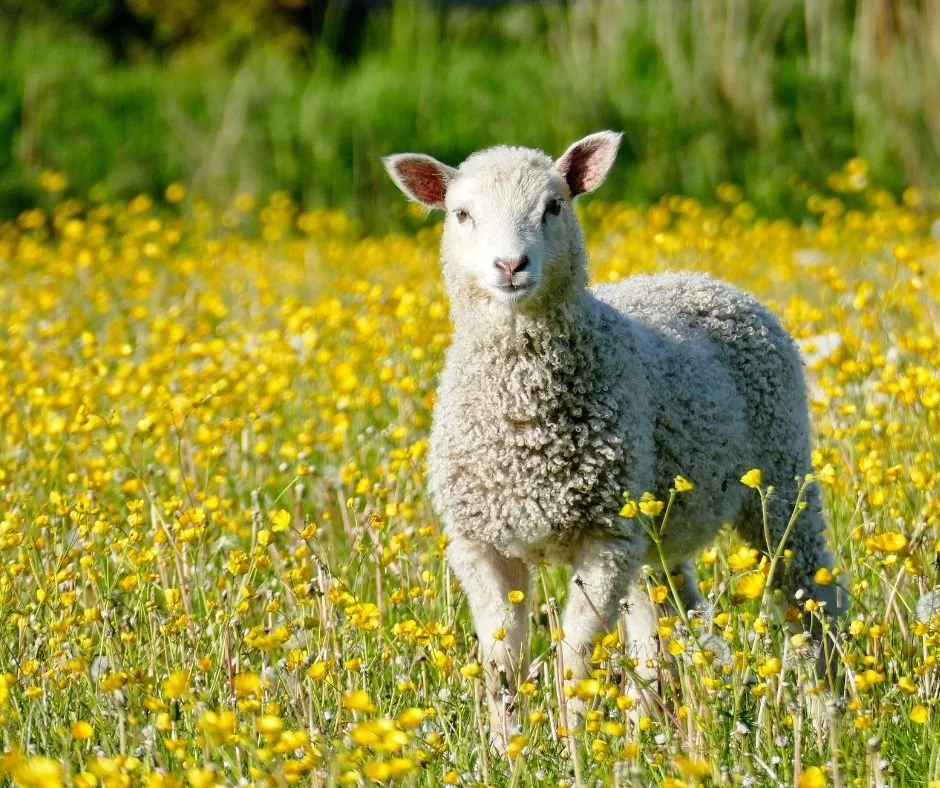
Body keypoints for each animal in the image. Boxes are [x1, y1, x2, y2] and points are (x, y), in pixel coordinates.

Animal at [383, 132, 843, 747]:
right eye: (461, 214)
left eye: (554, 206)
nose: (510, 265)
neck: (523, 422)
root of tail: (701, 278)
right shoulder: (480, 544)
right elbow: (503, 661)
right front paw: (509, 748)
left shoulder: (604, 539)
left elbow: (574, 659)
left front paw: (574, 743)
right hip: (656, 527)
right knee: (667, 619)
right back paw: (663, 729)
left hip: (780, 475)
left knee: (811, 594)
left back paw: (832, 714)